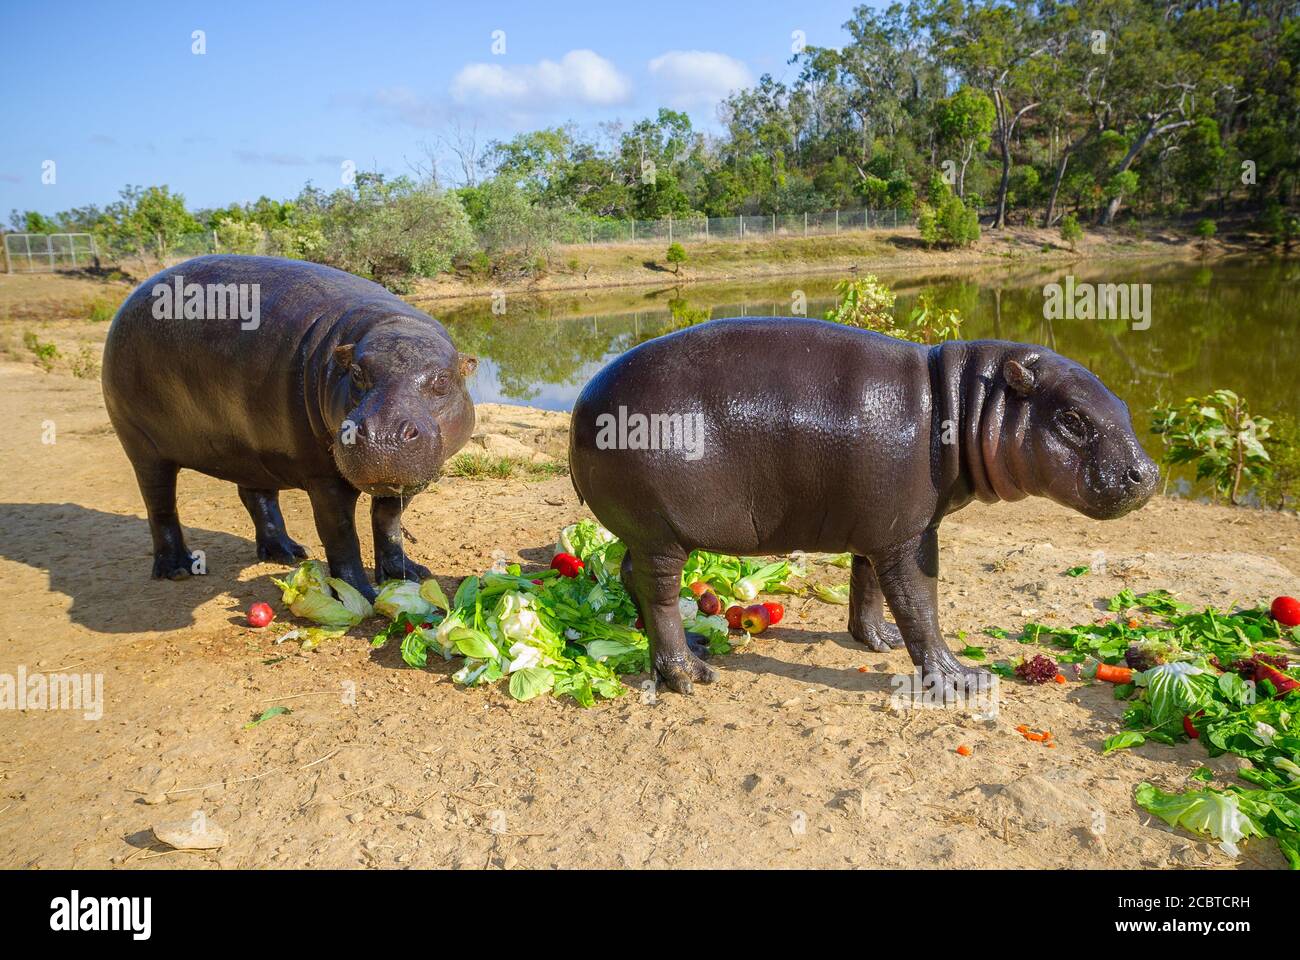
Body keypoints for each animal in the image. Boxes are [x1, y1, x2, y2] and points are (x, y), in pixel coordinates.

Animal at [102, 255, 476, 601]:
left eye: (443, 380)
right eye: (356, 372)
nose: (383, 435)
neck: (393, 324)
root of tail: (132, 297)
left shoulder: (407, 479)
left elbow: (388, 523)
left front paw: (409, 574)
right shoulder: (323, 478)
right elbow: (341, 535)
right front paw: (358, 595)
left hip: (248, 450)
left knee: (256, 495)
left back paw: (286, 552)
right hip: (142, 446)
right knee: (160, 504)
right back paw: (177, 568)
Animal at [569, 317, 1158, 694]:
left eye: (1123, 404)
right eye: (1073, 419)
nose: (1149, 475)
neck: (965, 404)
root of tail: (582, 401)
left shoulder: (877, 527)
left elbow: (869, 585)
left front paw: (879, 640)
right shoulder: (908, 535)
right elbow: (920, 604)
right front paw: (962, 680)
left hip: (650, 533)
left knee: (631, 575)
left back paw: (694, 645)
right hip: (663, 535)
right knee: (660, 594)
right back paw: (689, 676)